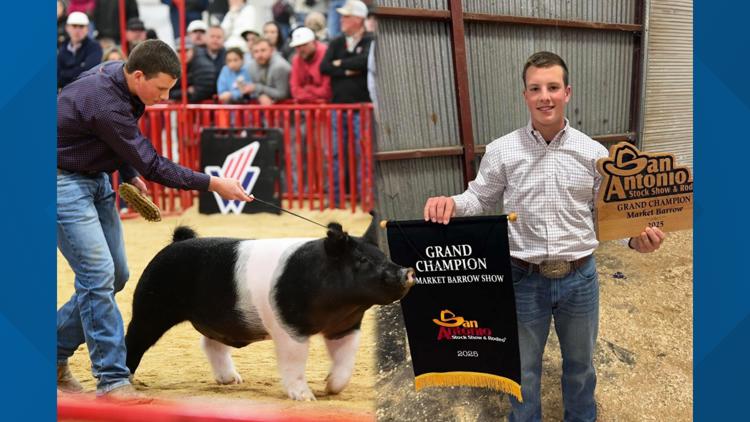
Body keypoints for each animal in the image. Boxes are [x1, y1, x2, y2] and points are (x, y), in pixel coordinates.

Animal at [125, 215, 414, 400]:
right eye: (362, 260)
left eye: (383, 256)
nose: (406, 271)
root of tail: (176, 242)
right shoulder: (289, 327)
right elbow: (294, 361)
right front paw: (306, 398)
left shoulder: (346, 327)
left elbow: (345, 360)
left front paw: (330, 388)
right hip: (149, 307)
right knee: (133, 340)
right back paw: (128, 382)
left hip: (219, 320)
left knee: (209, 343)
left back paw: (233, 381)